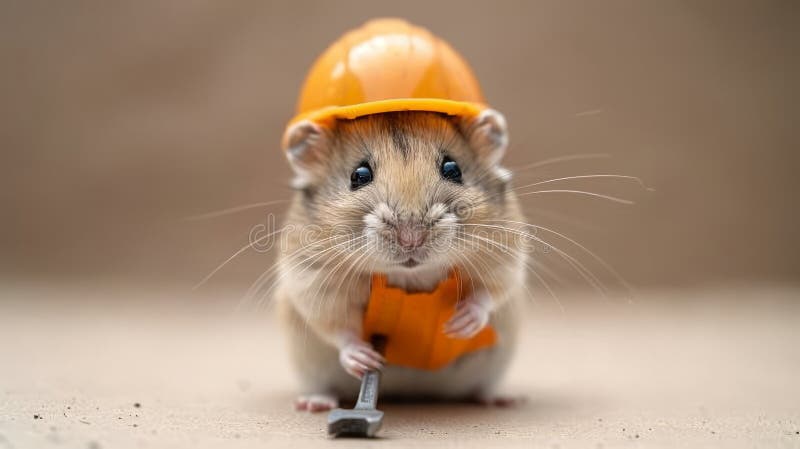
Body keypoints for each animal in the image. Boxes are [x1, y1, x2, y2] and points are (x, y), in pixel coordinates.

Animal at [274, 110, 528, 411]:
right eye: (359, 175)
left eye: (453, 169)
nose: (411, 238)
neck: (411, 274)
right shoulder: (313, 280)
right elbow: (337, 327)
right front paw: (365, 358)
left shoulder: (506, 258)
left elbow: (488, 293)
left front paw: (460, 323)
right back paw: (314, 403)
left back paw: (504, 399)